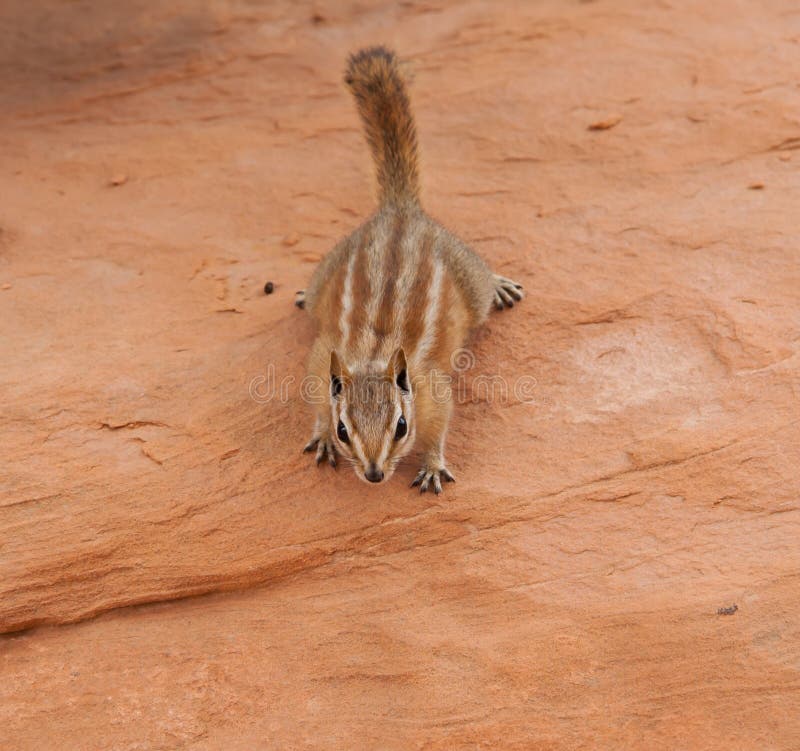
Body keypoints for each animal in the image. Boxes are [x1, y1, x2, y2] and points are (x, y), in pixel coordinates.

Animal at [296, 46, 523, 494]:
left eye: (401, 427)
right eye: (344, 431)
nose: (374, 475)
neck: (372, 354)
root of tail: (400, 210)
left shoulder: (433, 394)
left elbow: (438, 429)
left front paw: (433, 464)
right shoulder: (319, 365)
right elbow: (317, 402)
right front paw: (321, 434)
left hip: (466, 274)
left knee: (481, 275)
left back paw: (500, 284)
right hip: (326, 273)